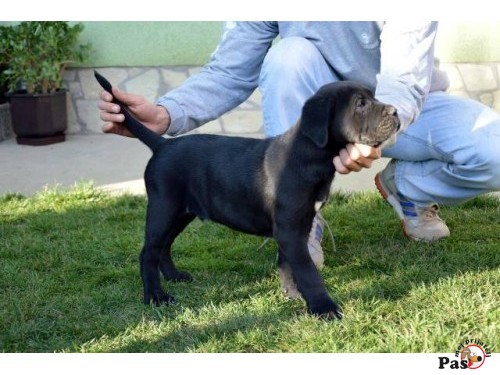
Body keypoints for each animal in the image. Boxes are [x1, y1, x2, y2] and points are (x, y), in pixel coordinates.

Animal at [94, 71, 398, 320]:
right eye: (361, 103)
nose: (395, 112)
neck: (310, 155)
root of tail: (161, 145)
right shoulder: (290, 228)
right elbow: (307, 271)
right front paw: (324, 308)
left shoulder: (294, 227)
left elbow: (287, 265)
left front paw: (293, 295)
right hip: (164, 207)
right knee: (148, 252)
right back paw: (156, 297)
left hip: (181, 211)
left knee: (163, 246)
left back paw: (175, 276)